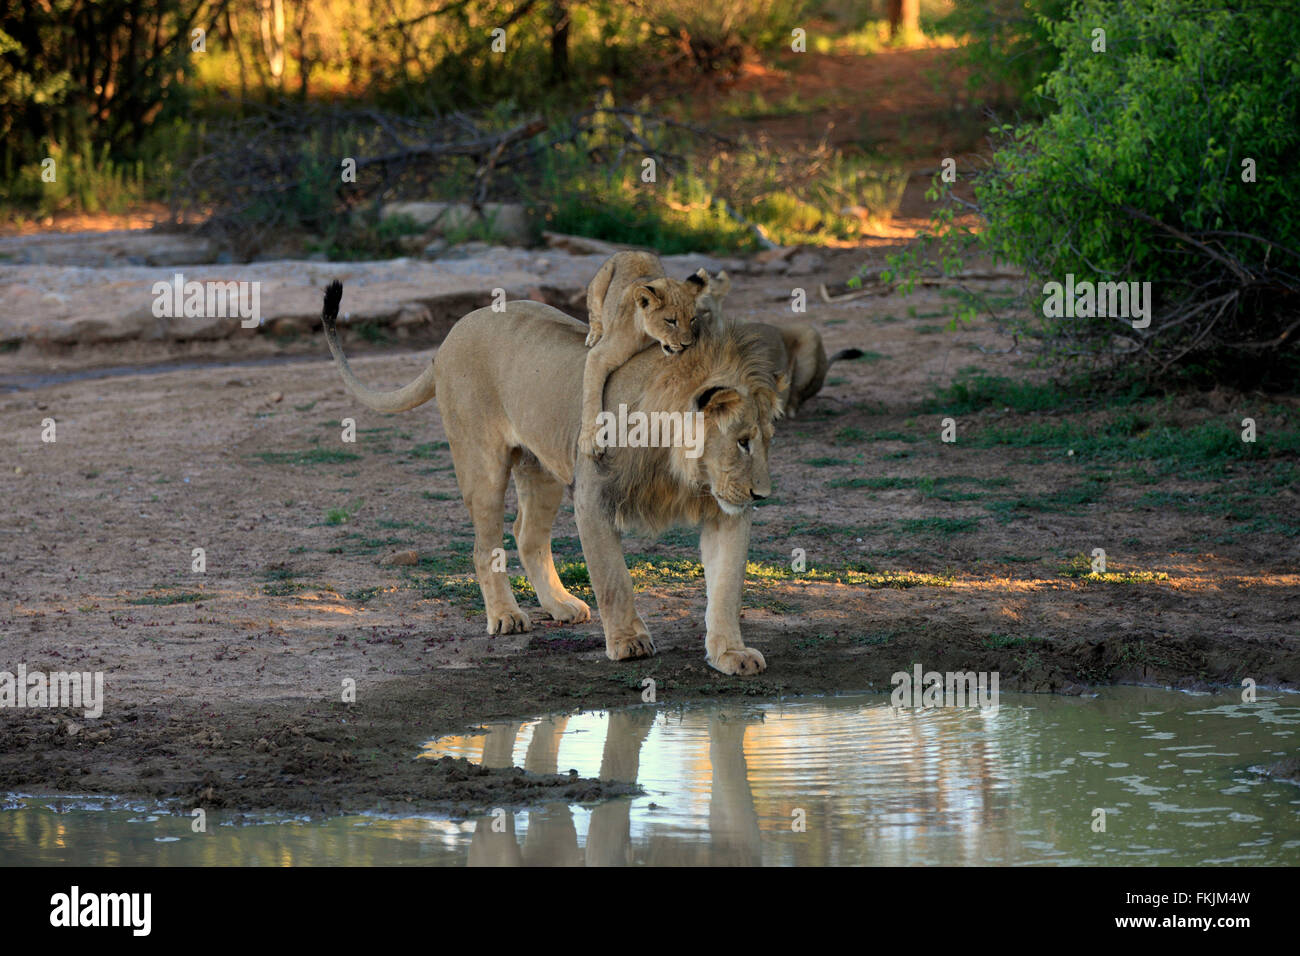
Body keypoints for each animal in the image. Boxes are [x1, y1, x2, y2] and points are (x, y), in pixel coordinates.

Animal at [319, 280, 779, 675]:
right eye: (742, 441)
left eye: (766, 440)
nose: (761, 494)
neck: (677, 465)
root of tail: (450, 336)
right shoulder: (594, 498)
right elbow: (613, 579)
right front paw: (628, 642)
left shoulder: (724, 510)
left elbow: (726, 587)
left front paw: (731, 653)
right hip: (482, 464)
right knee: (485, 547)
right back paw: (506, 616)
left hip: (540, 467)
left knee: (526, 535)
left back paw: (560, 605)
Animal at [579, 251, 708, 459]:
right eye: (670, 321)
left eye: (692, 319)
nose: (687, 344)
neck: (647, 335)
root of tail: (632, 250)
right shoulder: (599, 355)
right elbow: (591, 398)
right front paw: (590, 440)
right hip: (598, 286)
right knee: (594, 314)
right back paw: (594, 334)